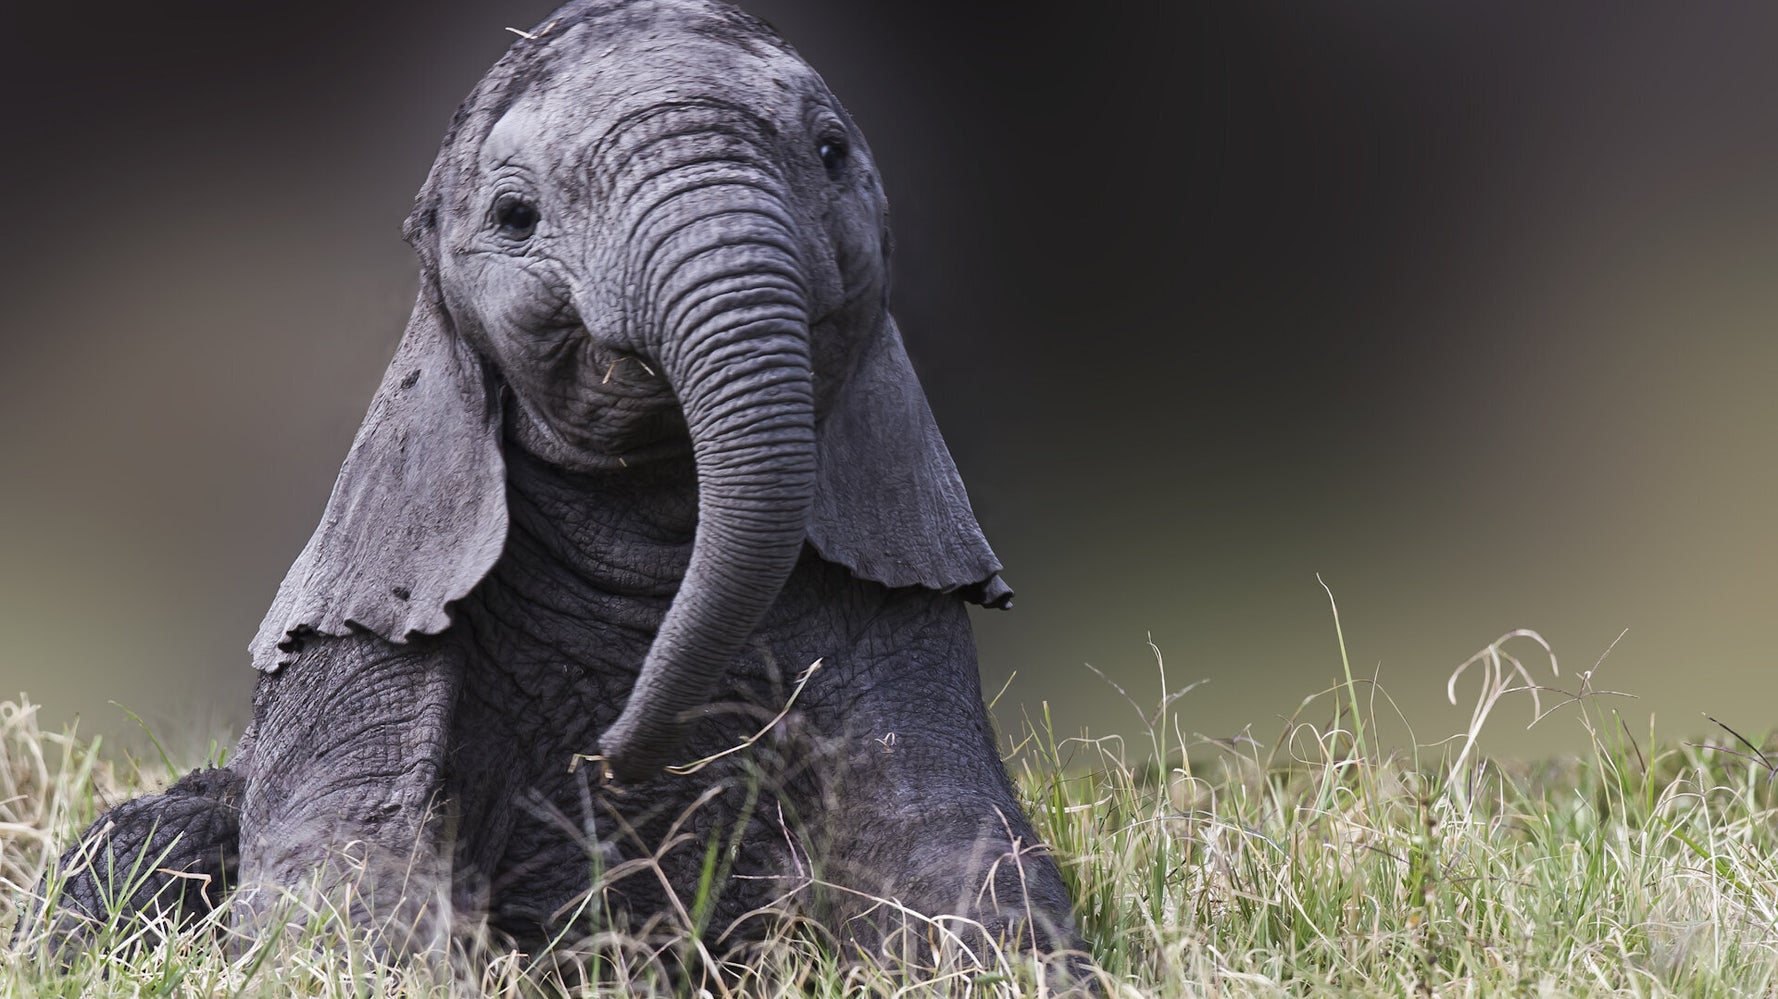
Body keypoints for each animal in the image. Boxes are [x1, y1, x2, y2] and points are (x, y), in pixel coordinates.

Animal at [30, 0, 1086, 984]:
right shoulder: (357, 637)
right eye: (514, 217)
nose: (615, 752)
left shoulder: (908, 611)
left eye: (832, 154)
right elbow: (340, 885)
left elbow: (958, 866)